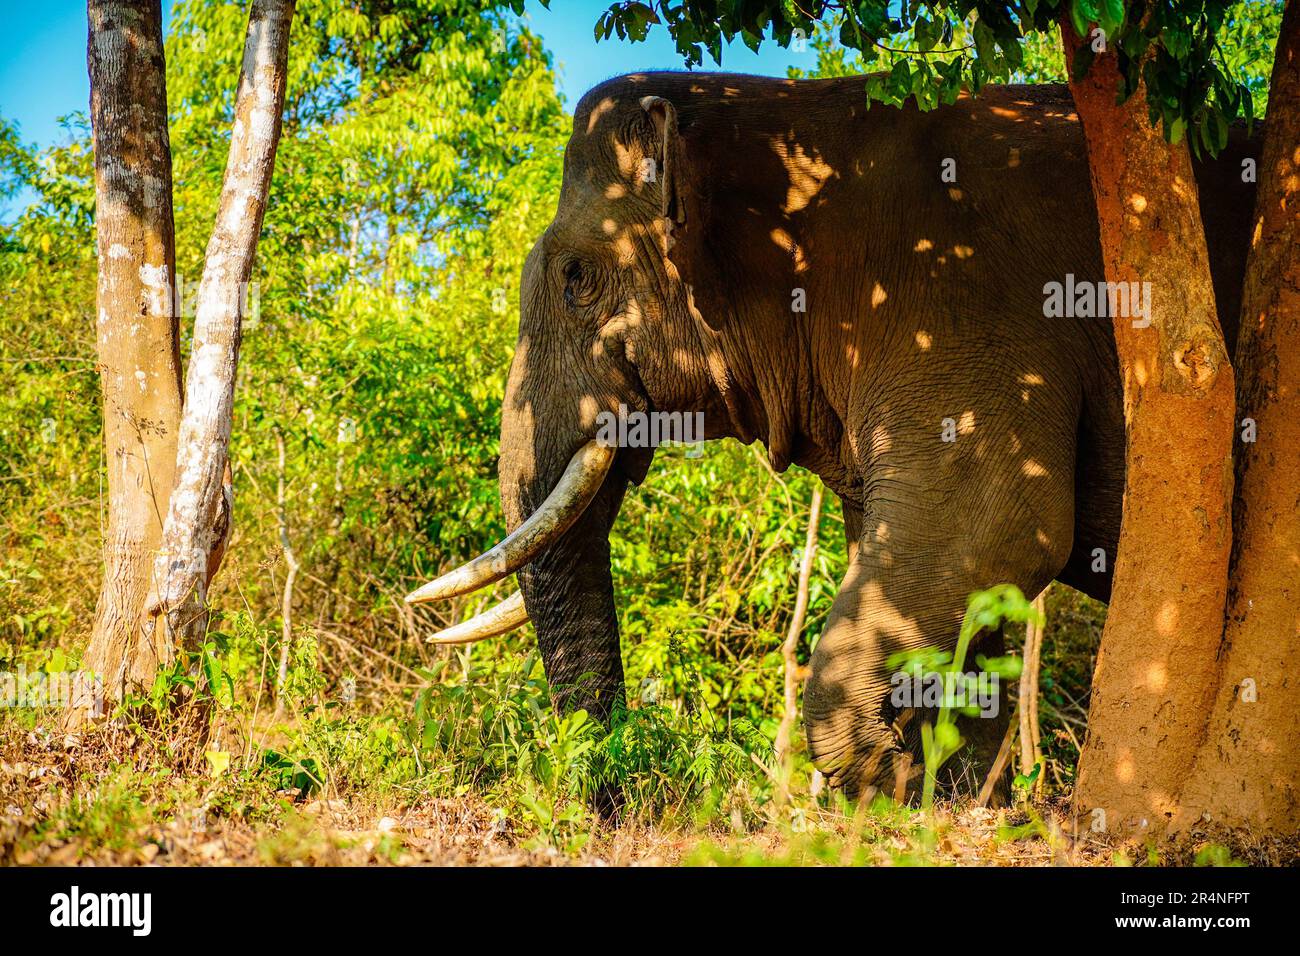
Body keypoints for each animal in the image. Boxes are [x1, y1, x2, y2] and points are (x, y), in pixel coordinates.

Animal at [408, 72, 1257, 802]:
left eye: (576, 278)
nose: (614, 798)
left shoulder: (962, 311)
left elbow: (1001, 527)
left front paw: (891, 781)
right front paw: (950, 800)